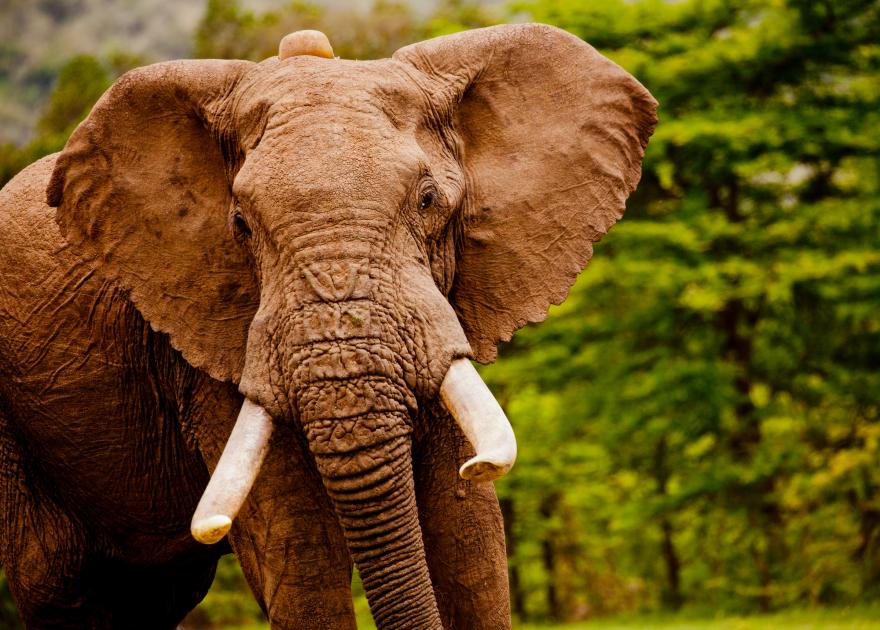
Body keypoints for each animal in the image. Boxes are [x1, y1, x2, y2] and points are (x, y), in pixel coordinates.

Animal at [0, 23, 656, 629]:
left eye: (427, 201)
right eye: (240, 225)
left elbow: (468, 539)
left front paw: (466, 479)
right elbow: (302, 548)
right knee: (59, 590)